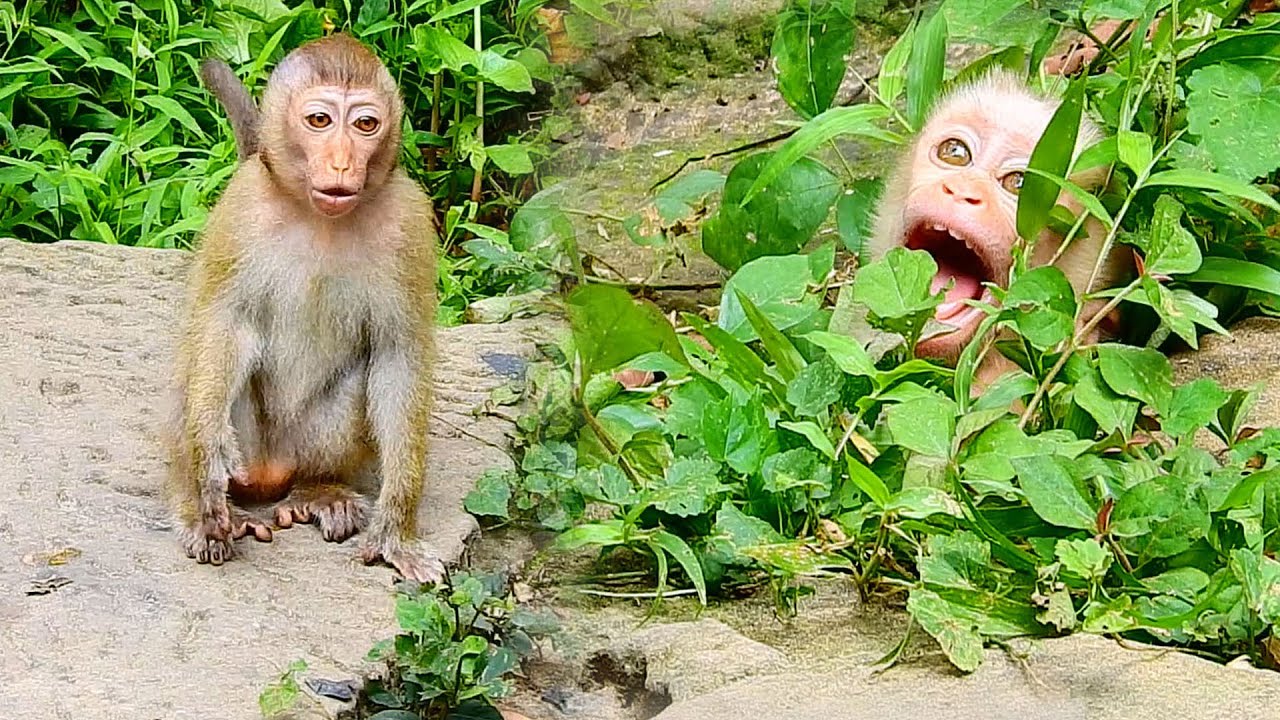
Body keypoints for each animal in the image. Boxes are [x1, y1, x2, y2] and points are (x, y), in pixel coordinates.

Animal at [164, 34, 443, 583]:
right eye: (319, 120)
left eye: (365, 124)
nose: (340, 163)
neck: (319, 218)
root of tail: (270, 475)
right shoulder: (242, 207)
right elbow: (225, 326)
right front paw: (208, 456)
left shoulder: (409, 224)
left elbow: (397, 356)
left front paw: (395, 529)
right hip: (246, 452)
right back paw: (205, 511)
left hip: (304, 445)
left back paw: (320, 490)